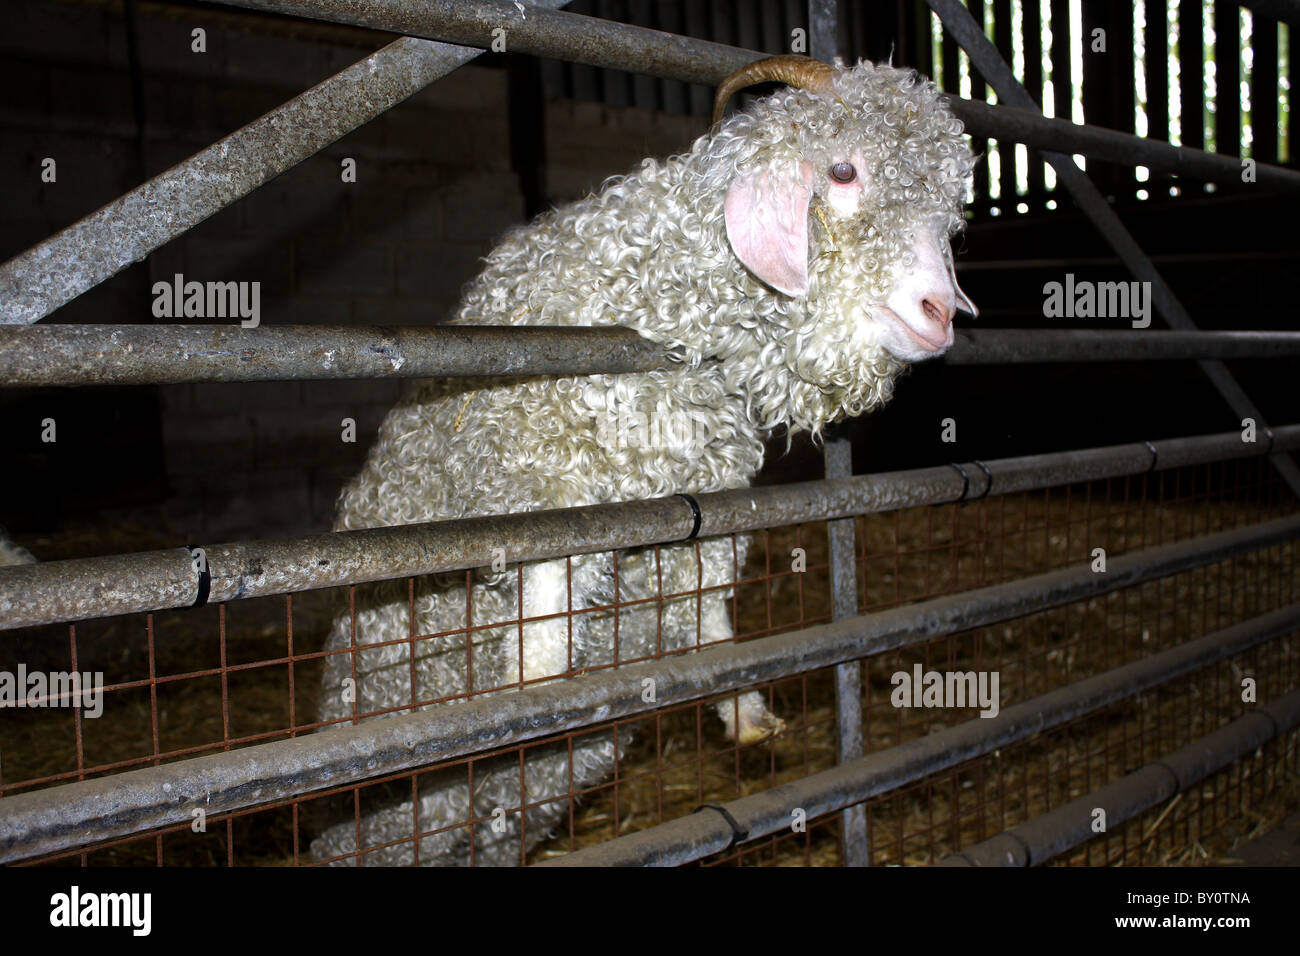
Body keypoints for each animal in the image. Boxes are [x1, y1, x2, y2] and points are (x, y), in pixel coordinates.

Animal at [311, 55, 976, 866]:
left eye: (950, 210)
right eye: (843, 170)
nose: (940, 315)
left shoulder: (705, 500)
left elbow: (708, 602)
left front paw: (745, 711)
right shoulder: (539, 464)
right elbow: (546, 591)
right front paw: (532, 682)